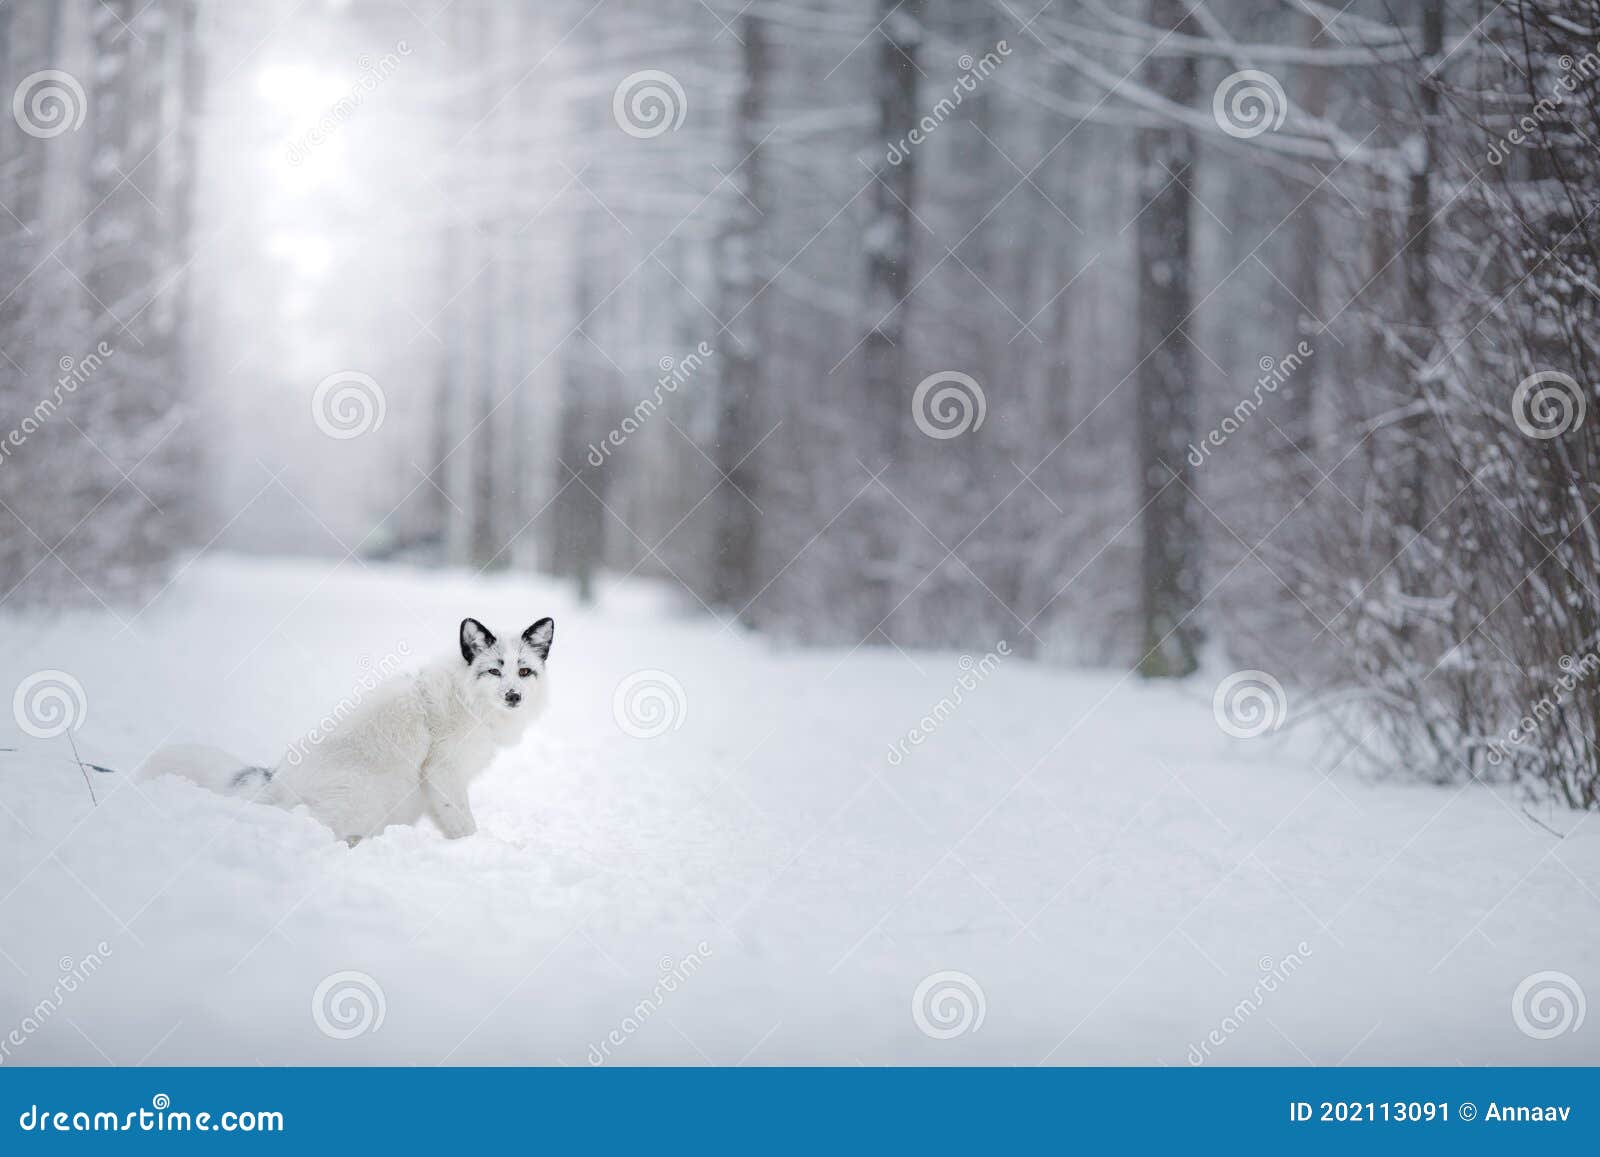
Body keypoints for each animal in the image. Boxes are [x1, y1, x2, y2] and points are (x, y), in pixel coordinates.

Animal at [139, 616, 554, 843]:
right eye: (495, 670)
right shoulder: (443, 772)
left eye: (524, 671)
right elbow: (465, 822)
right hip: (365, 799)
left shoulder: (435, 787)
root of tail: (274, 784)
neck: (468, 699)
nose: (514, 695)